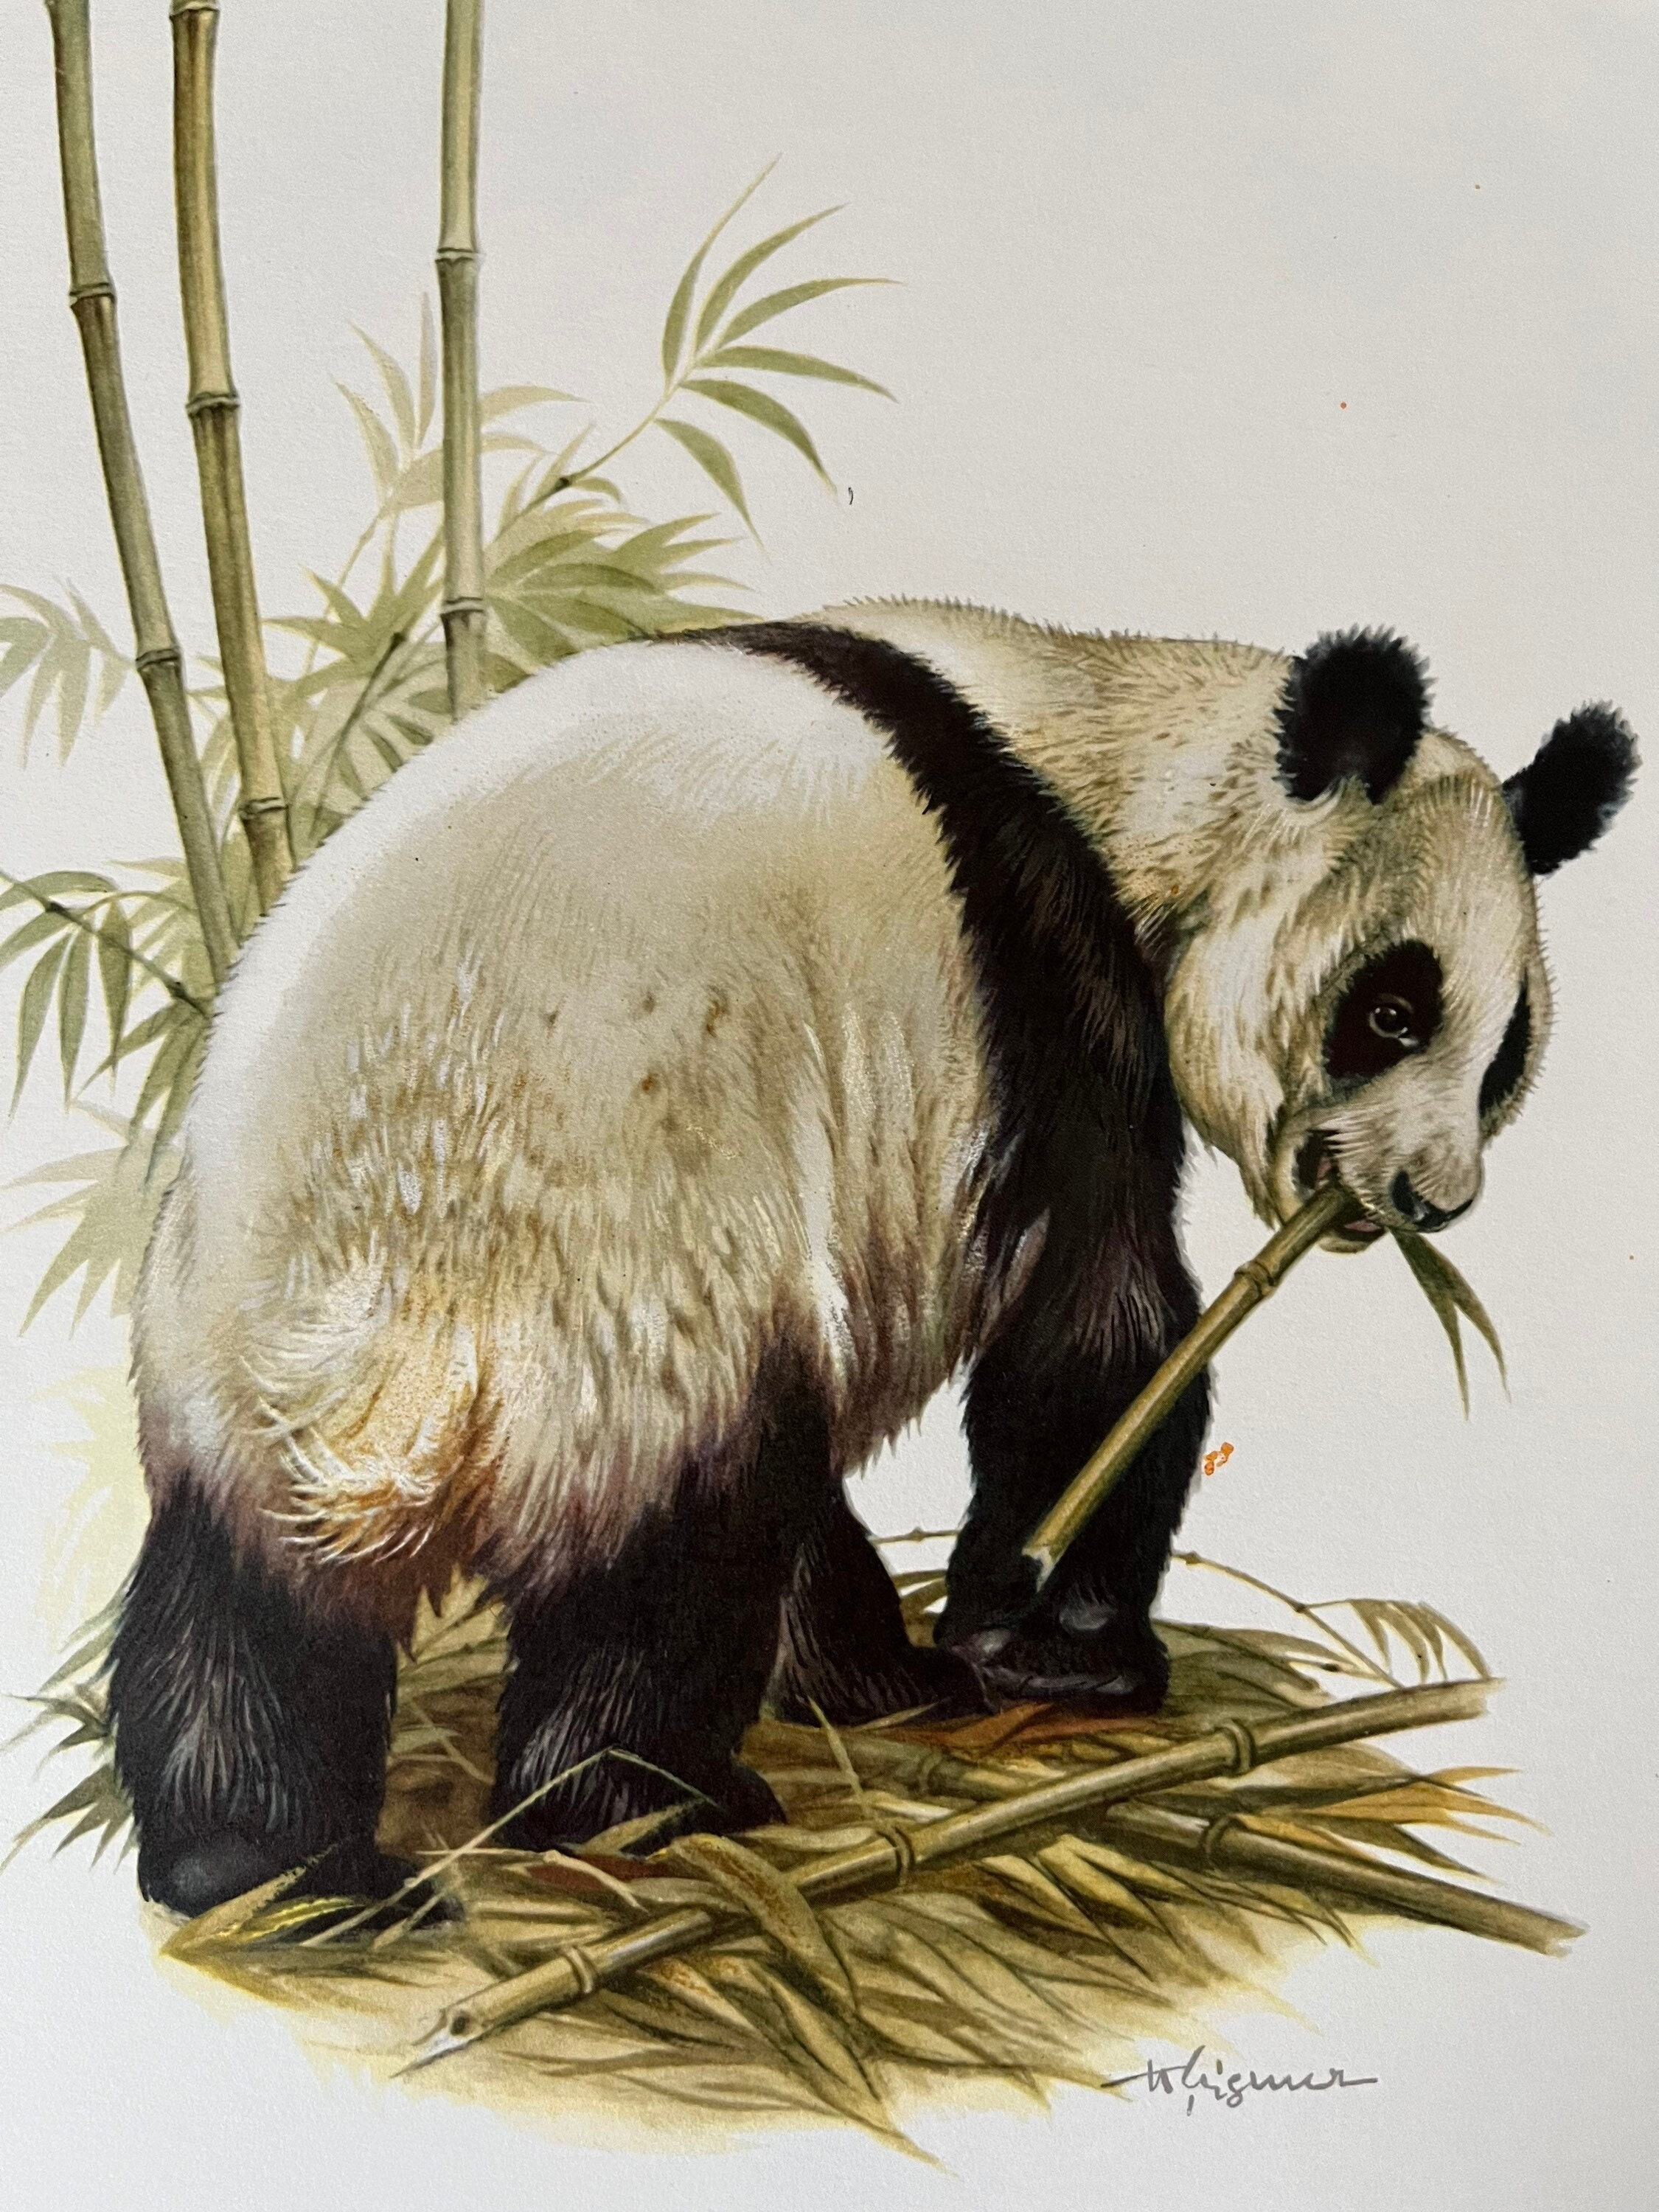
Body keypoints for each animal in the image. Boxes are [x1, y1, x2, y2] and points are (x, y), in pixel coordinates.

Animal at [108, 602, 1636, 1918]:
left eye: (1507, 1051)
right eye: (1392, 1007)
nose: (1432, 1198)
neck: (1126, 757)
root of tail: (397, 1373)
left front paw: (889, 1675)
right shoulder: (1040, 974)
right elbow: (1095, 1321)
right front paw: (1057, 1643)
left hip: (235, 1347)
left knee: (243, 1606)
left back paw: (262, 1864)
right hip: (632, 1288)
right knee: (676, 1542)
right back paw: (638, 1802)